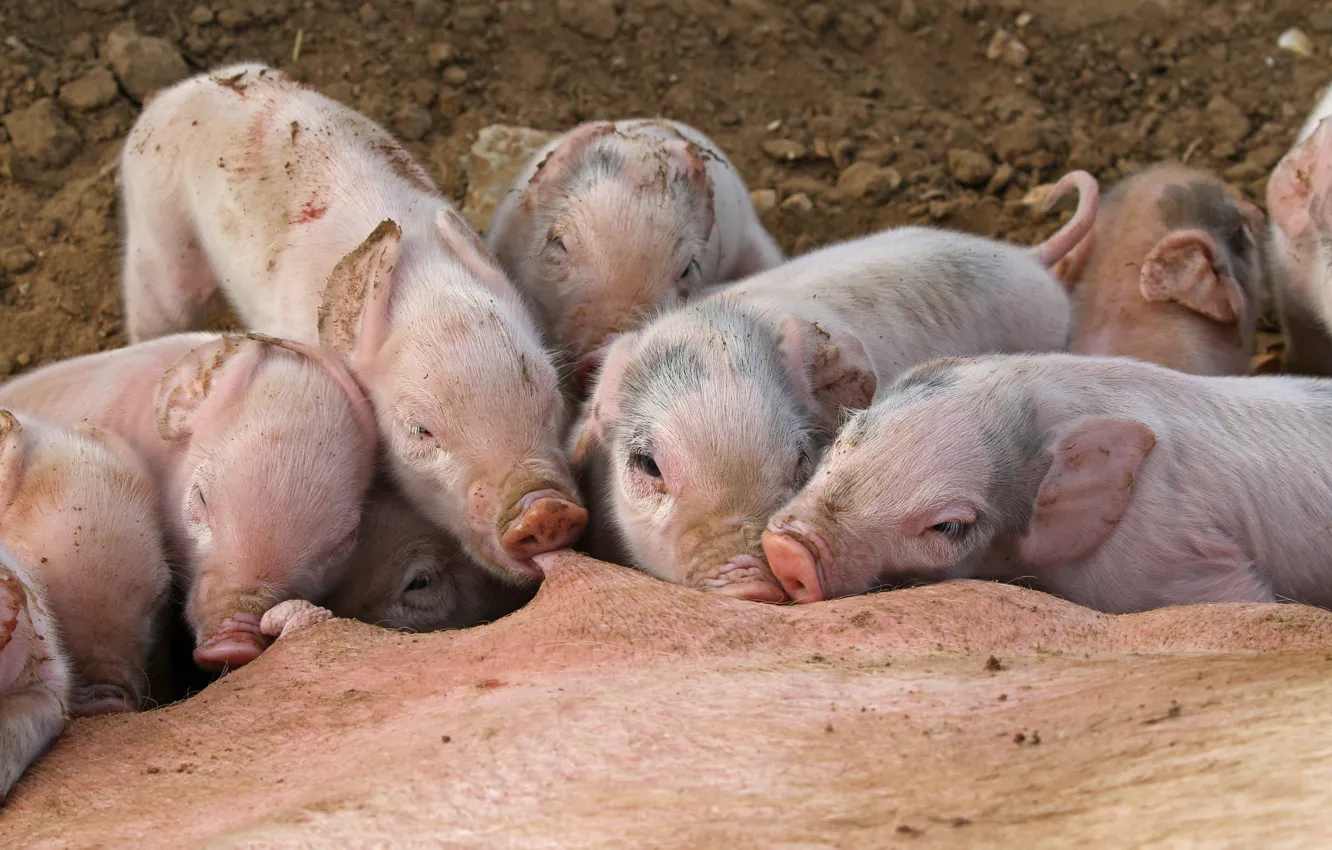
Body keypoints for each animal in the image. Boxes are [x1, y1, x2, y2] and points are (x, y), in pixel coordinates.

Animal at [118, 63, 586, 582]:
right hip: (158, 234)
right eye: (419, 430)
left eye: (550, 395)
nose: (545, 509)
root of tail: (184, 87)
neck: (423, 288)